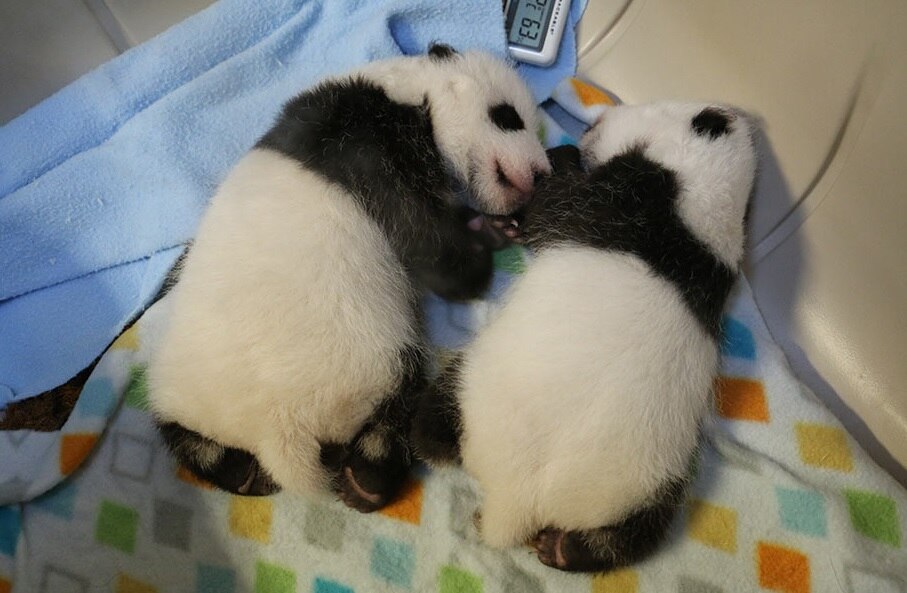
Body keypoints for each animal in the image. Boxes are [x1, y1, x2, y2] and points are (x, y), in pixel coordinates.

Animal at [147, 44, 550, 511]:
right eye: (509, 116)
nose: (541, 175)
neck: (401, 86)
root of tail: (281, 435)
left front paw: (491, 228)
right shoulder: (361, 137)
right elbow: (422, 238)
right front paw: (477, 256)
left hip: (193, 384)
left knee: (180, 426)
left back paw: (245, 472)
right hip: (375, 355)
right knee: (393, 409)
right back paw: (367, 478)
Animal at [411, 101, 758, 570]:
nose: (597, 119)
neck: (709, 195)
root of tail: (517, 501)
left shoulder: (627, 200)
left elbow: (554, 207)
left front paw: (557, 163)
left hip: (475, 384)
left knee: (437, 421)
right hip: (646, 481)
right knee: (638, 533)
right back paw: (568, 549)